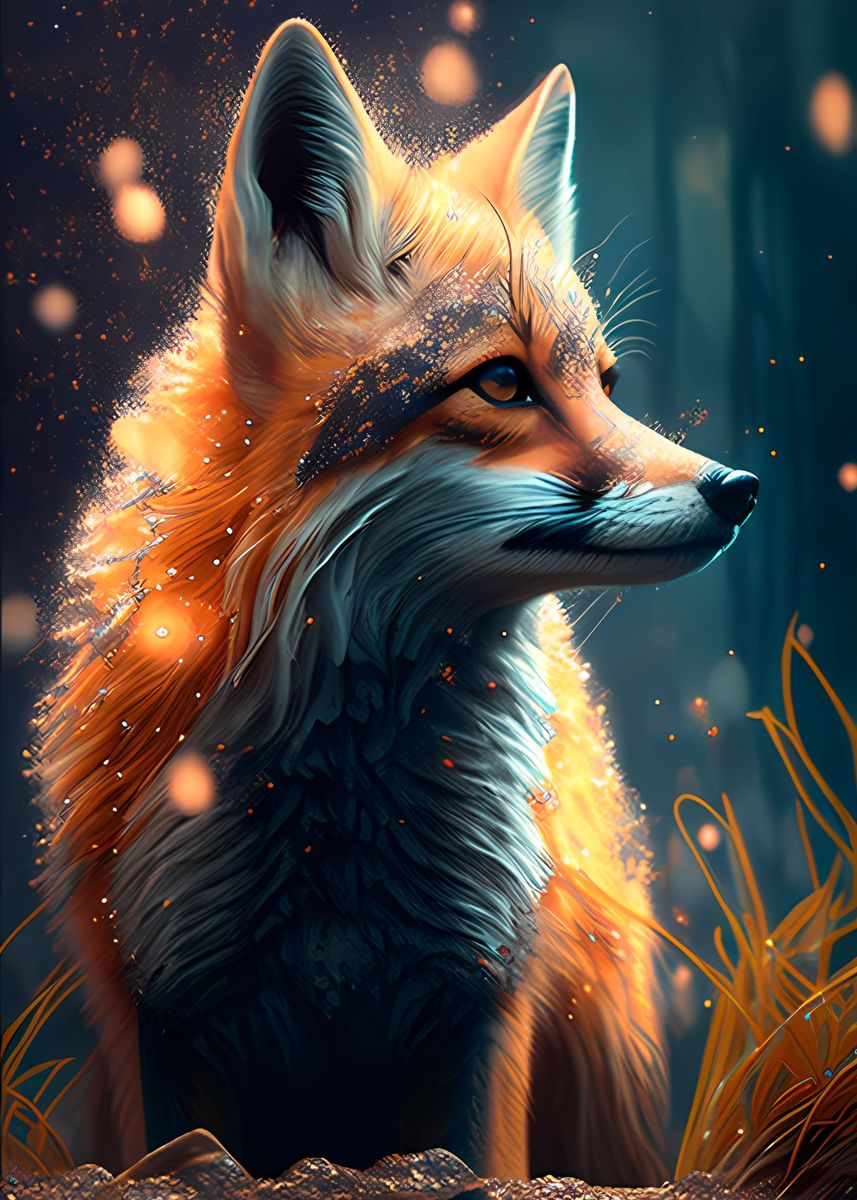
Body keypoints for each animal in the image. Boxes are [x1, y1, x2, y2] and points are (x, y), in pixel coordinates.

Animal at [33, 18, 758, 1187]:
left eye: (603, 383)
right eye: (502, 383)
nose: (738, 490)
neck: (339, 839)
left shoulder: (486, 994)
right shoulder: (155, 1001)